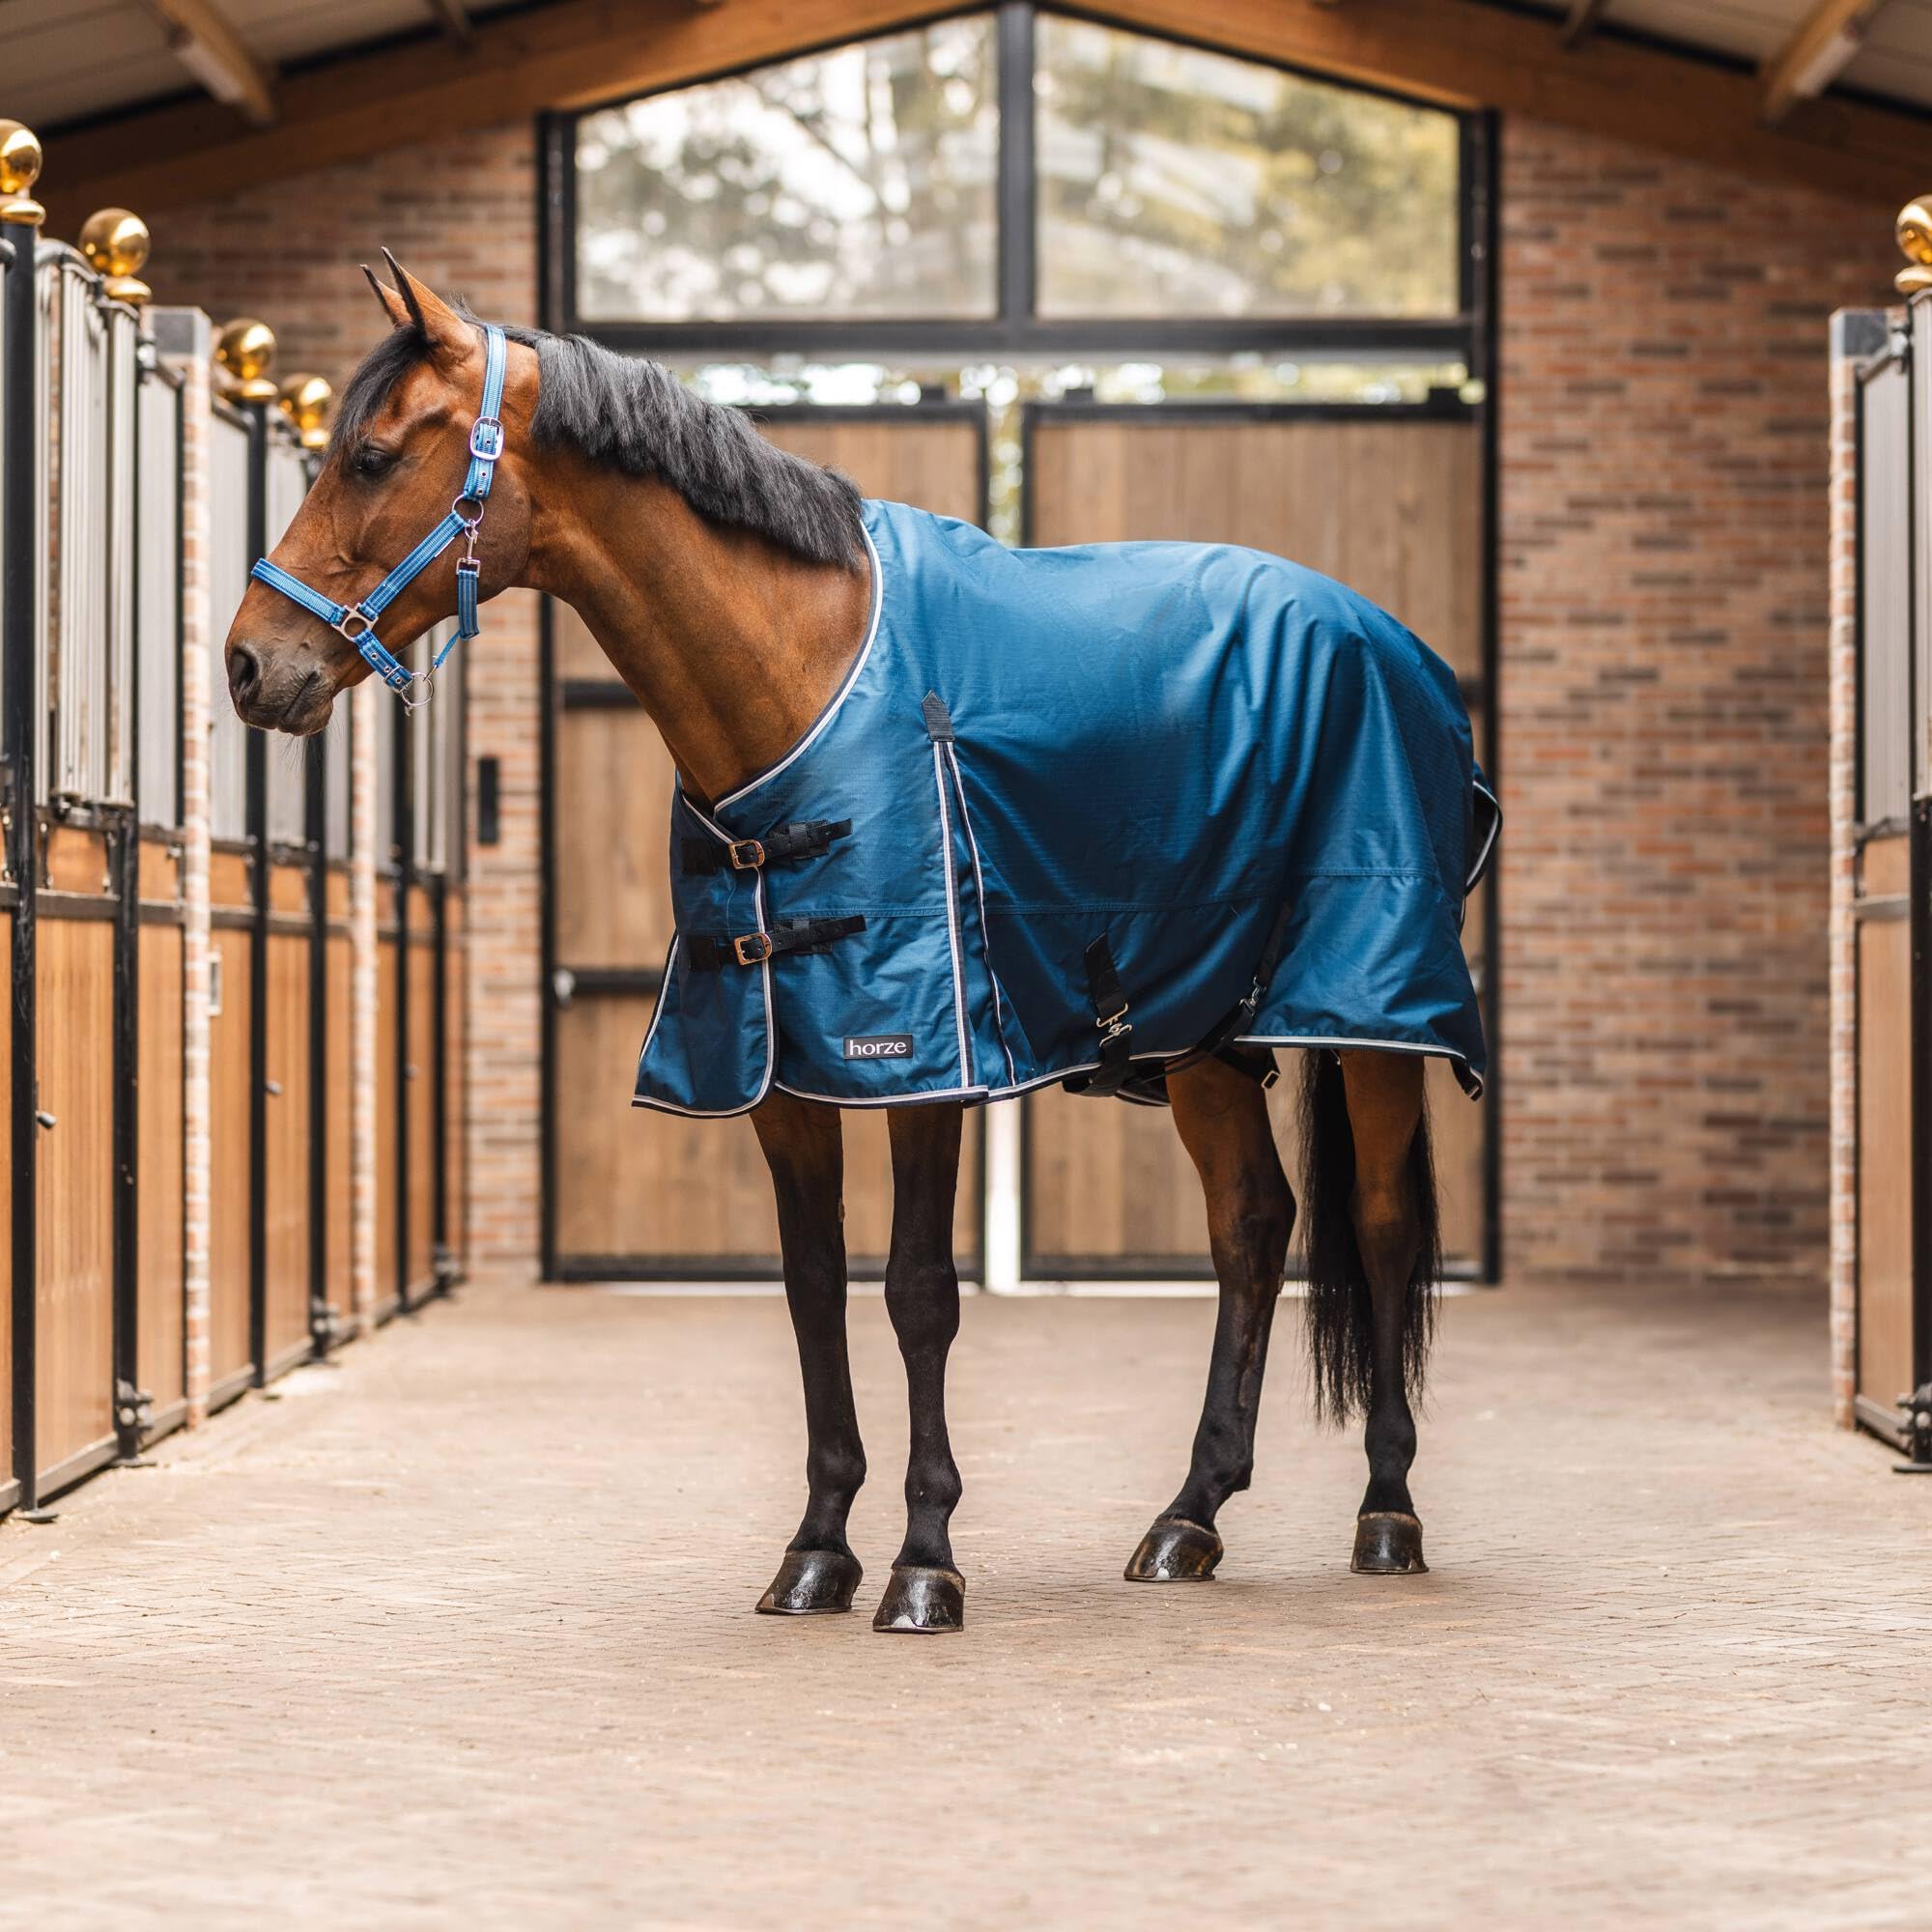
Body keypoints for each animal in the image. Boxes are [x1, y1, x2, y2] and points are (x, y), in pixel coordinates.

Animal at [226, 257, 1494, 1634]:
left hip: (1368, 1019)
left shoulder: (921, 1062)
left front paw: (924, 1560)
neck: (801, 679)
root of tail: (1391, 642)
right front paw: (817, 1548)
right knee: (1252, 1226)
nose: (248, 665)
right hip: (1202, 1032)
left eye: (370, 455)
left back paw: (1386, 1514)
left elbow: (917, 1291)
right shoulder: (777, 1065)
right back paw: (1185, 1519)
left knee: (1375, 1225)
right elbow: (812, 1288)